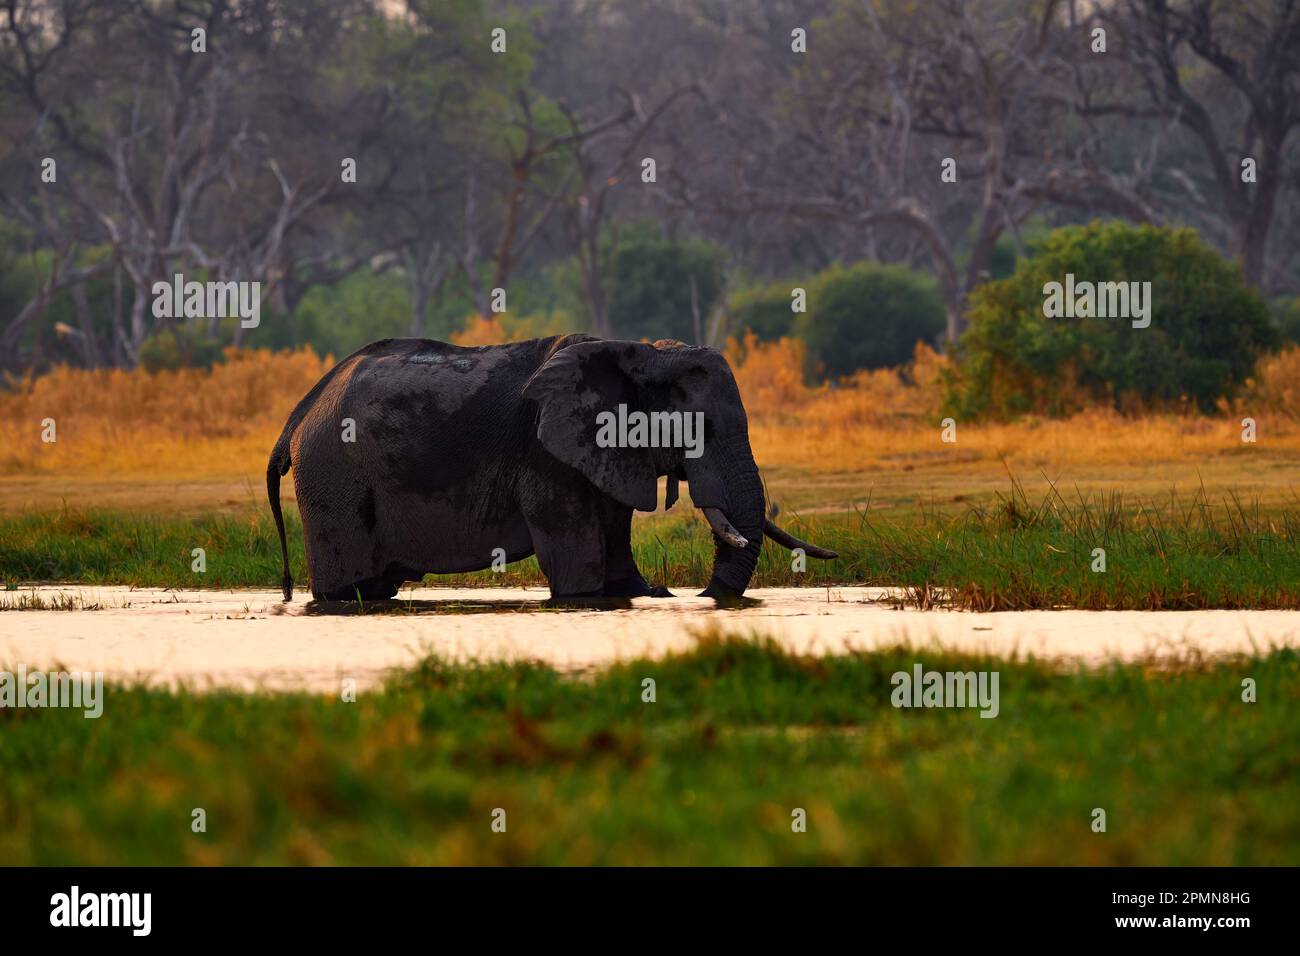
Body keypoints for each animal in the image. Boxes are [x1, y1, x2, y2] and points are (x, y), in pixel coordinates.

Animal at [267, 334, 837, 602]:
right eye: (703, 429)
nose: (695, 596)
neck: (641, 353)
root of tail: (301, 410)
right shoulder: (546, 456)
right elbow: (577, 566)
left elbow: (616, 560)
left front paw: (648, 594)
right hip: (334, 478)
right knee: (349, 587)